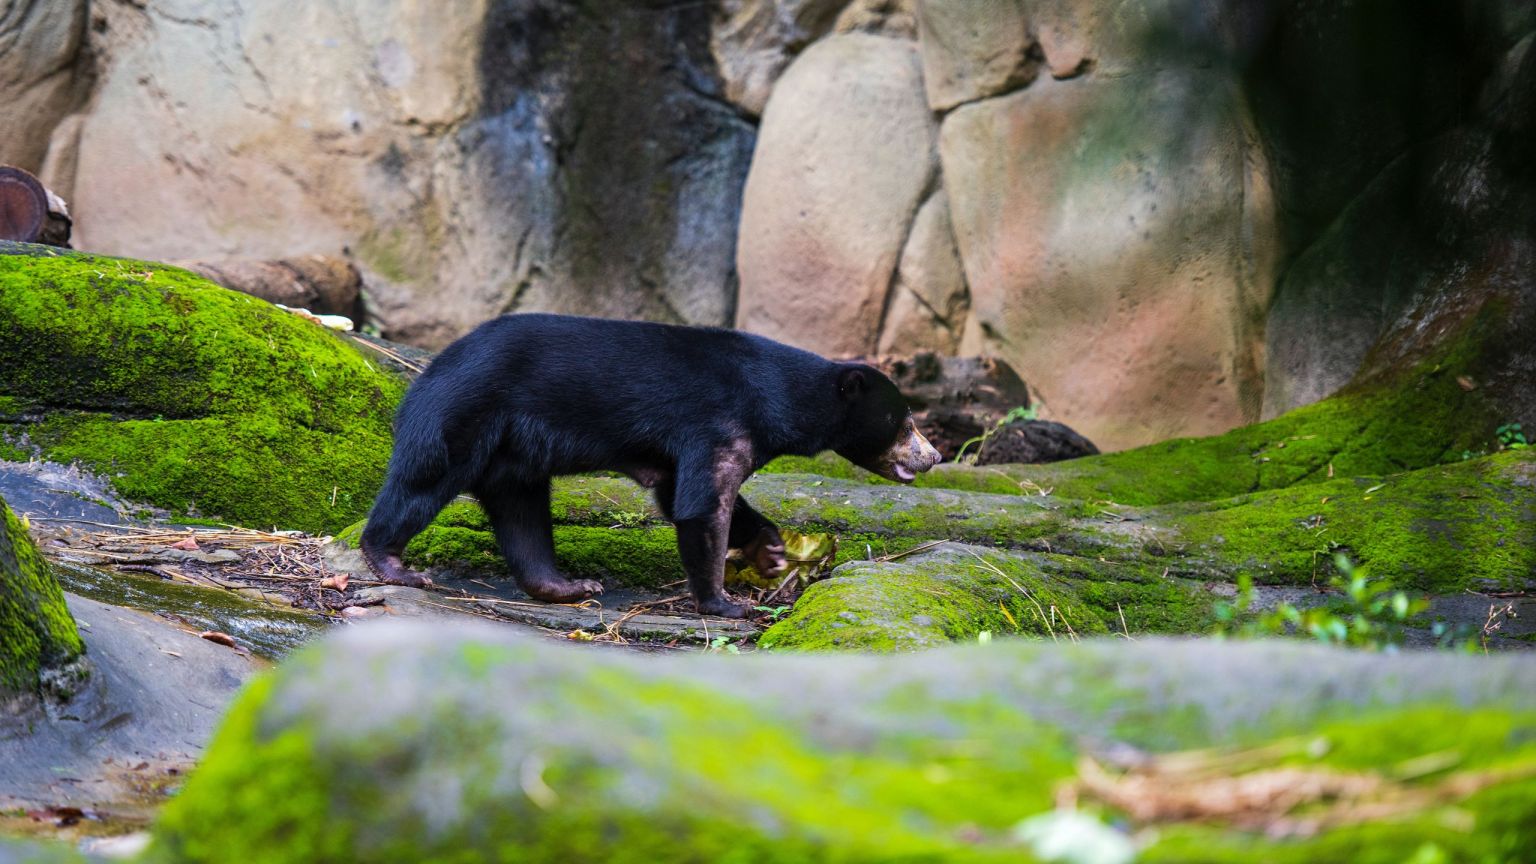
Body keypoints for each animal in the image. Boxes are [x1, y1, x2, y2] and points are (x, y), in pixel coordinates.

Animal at [360, 313, 942, 618]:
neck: (779, 398)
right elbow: (702, 504)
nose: (934, 456)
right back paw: (394, 564)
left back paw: (569, 586)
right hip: (466, 416)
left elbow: (682, 491)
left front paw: (772, 551)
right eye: (905, 422)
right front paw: (726, 603)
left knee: (522, 515)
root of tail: (429, 370)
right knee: (423, 483)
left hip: (513, 456)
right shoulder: (719, 422)